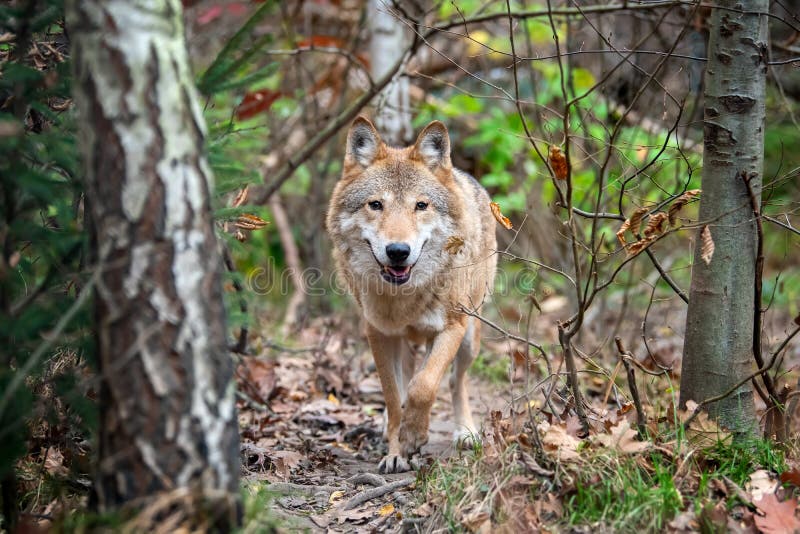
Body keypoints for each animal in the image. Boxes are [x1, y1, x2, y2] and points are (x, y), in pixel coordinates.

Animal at [326, 117, 497, 473]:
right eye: (376, 204)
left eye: (421, 205)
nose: (398, 251)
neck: (404, 297)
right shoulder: (377, 333)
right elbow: (395, 398)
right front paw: (396, 451)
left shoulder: (452, 328)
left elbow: (424, 386)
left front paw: (414, 436)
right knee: (407, 380)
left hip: (470, 337)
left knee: (455, 381)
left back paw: (465, 432)